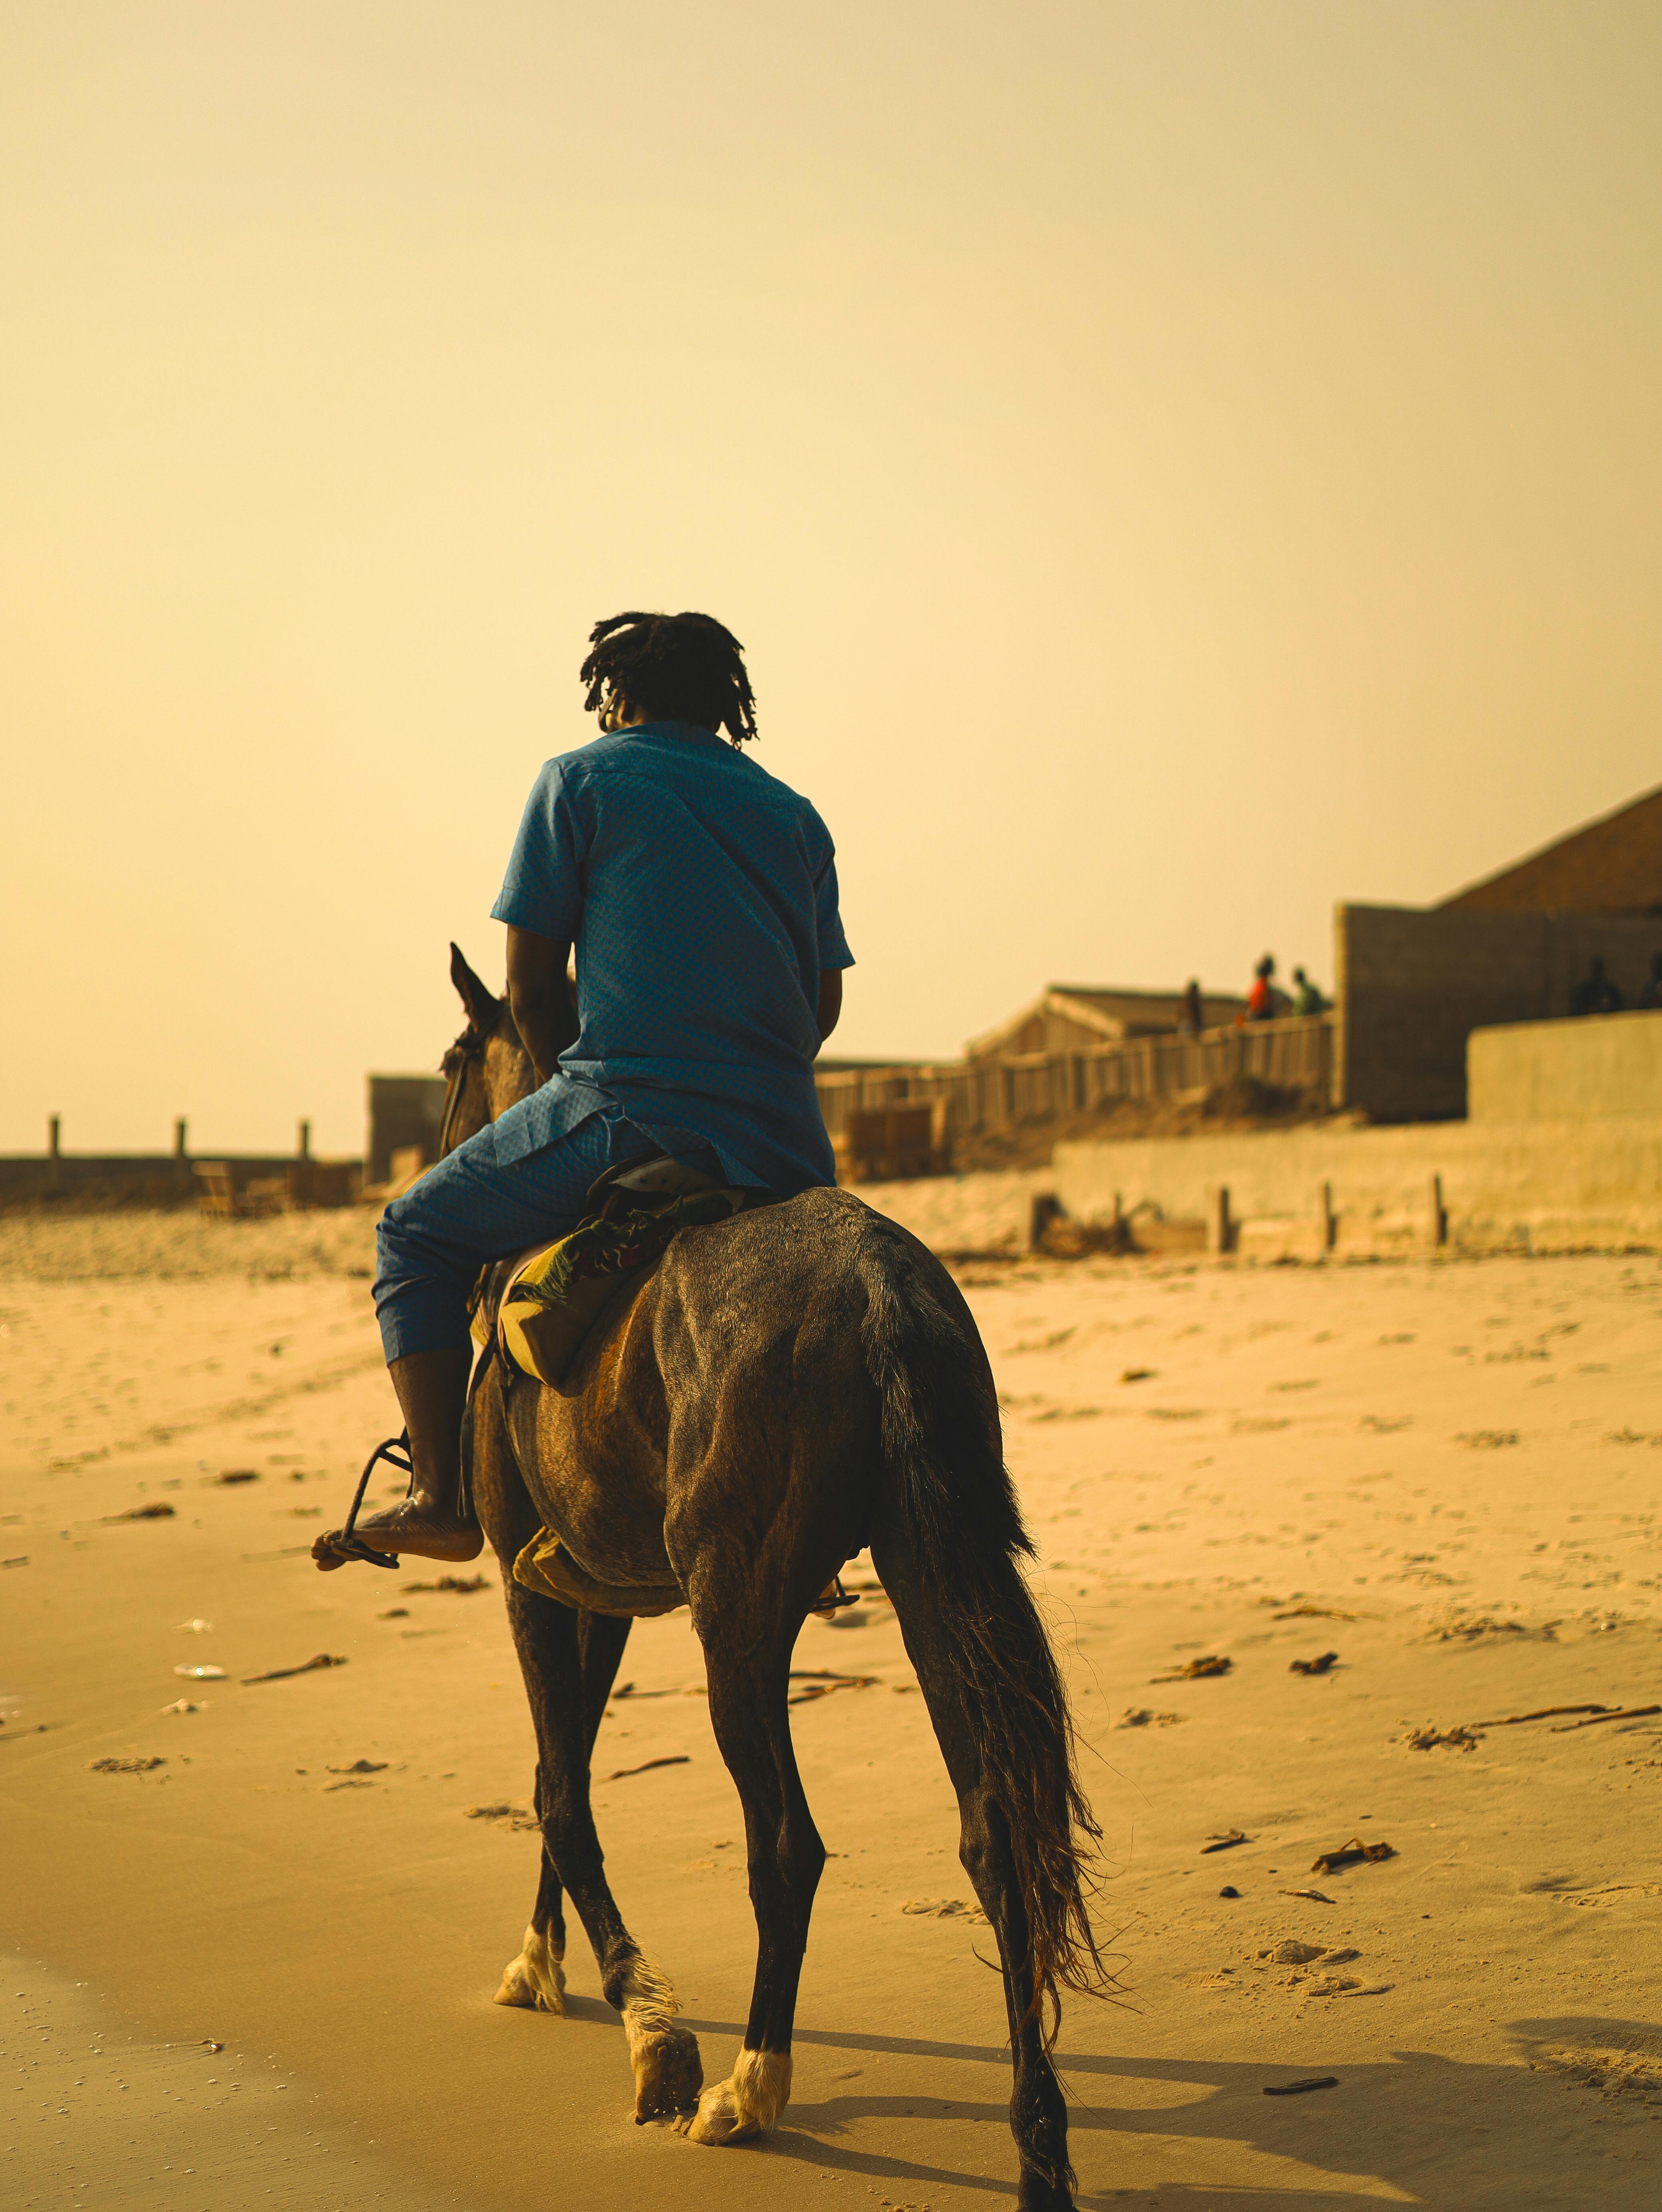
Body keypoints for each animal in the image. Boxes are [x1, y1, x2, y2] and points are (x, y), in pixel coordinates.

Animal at [434, 943, 1106, 2209]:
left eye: (449, 1062)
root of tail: (877, 1284)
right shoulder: (596, 1594)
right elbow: (565, 1770)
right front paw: (548, 1961)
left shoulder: (531, 1582)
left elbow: (559, 1788)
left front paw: (649, 2028)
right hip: (931, 1578)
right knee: (996, 1839)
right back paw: (1039, 2147)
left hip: (739, 1616)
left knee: (786, 1844)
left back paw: (748, 2087)